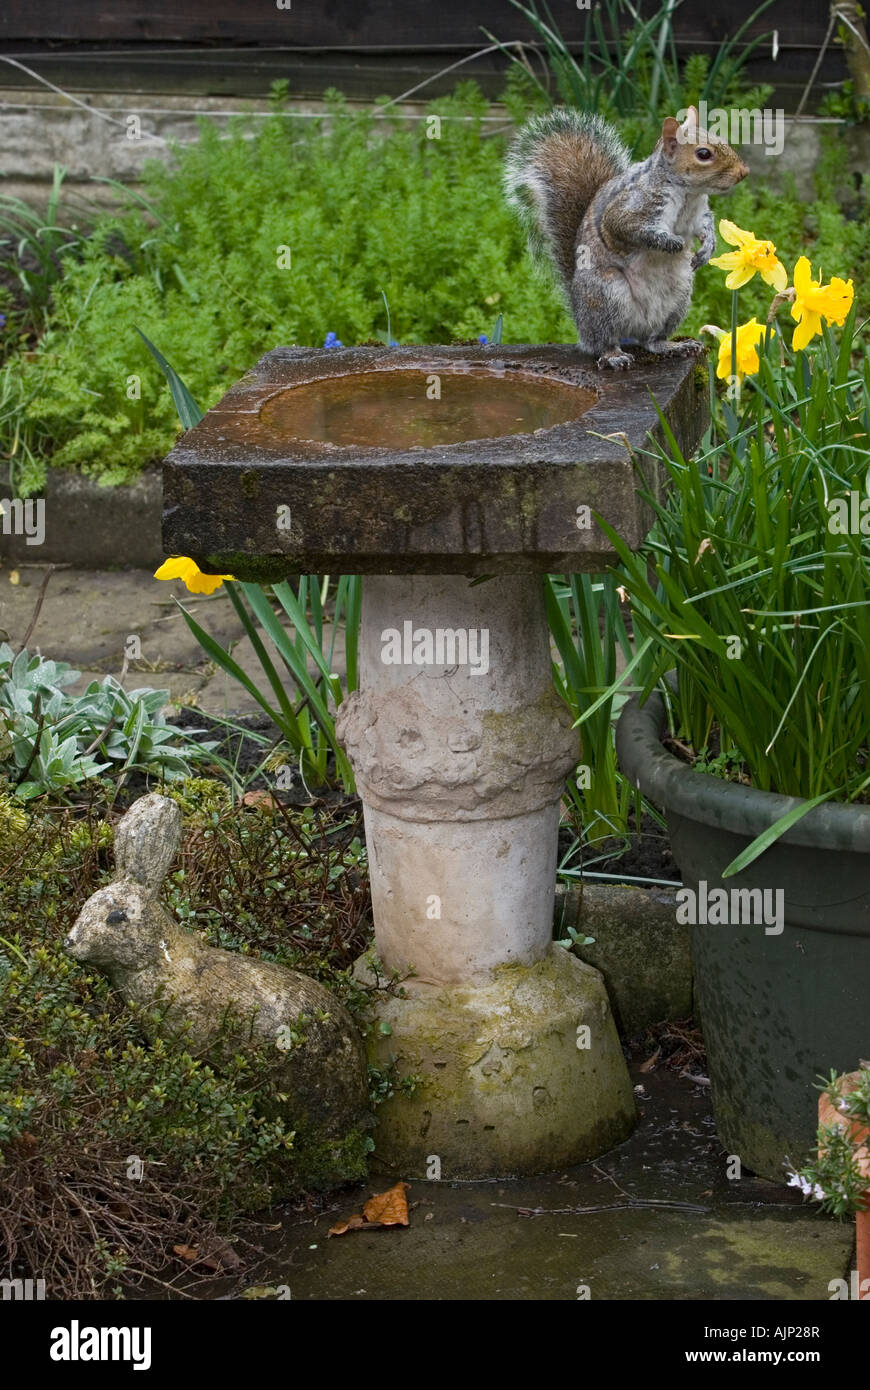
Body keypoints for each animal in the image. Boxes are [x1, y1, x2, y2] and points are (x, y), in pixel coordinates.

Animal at [505, 105, 749, 369]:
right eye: (703, 154)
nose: (743, 172)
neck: (688, 194)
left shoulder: (698, 214)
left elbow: (706, 228)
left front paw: (706, 250)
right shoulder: (632, 208)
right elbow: (626, 228)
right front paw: (673, 243)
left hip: (678, 298)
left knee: (651, 341)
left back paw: (674, 346)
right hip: (607, 294)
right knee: (603, 341)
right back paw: (613, 355)